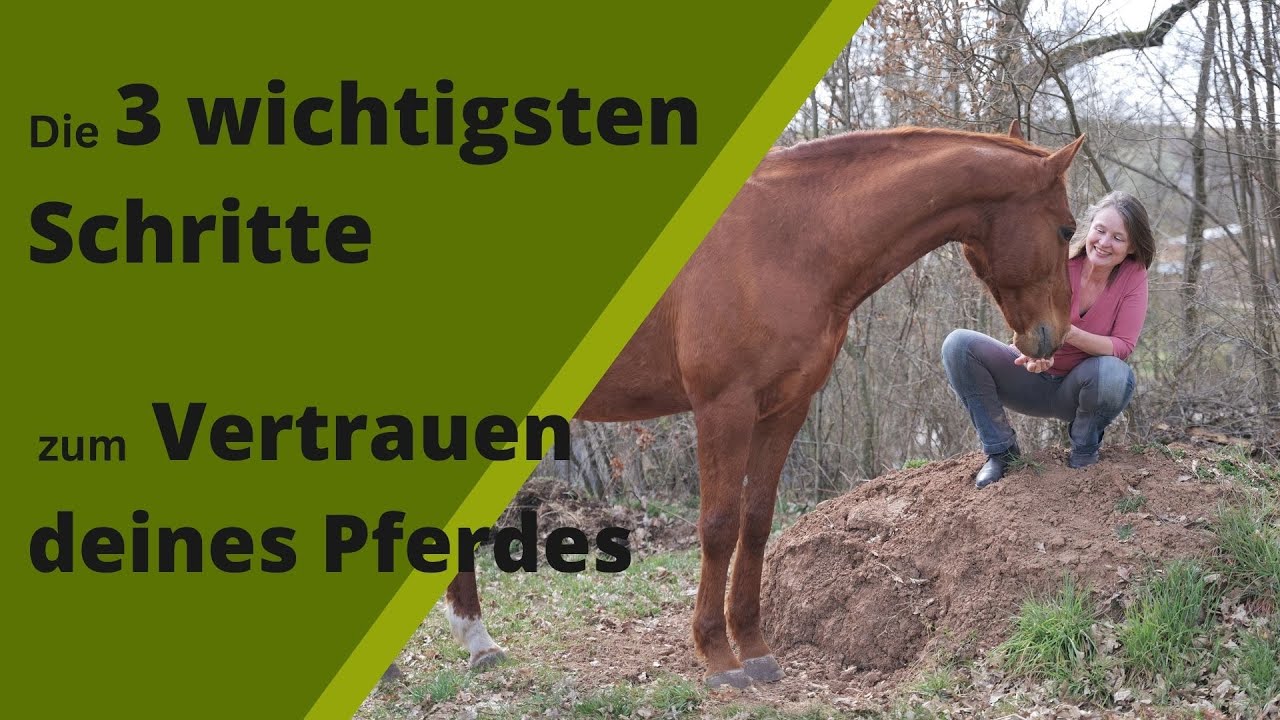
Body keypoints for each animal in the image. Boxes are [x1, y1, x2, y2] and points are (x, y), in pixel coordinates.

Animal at [400, 121, 1083, 688]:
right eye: (1067, 229)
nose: (1051, 337)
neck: (791, 240)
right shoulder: (722, 409)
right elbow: (718, 526)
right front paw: (717, 655)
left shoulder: (785, 408)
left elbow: (755, 523)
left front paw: (753, 648)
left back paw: (476, 644)